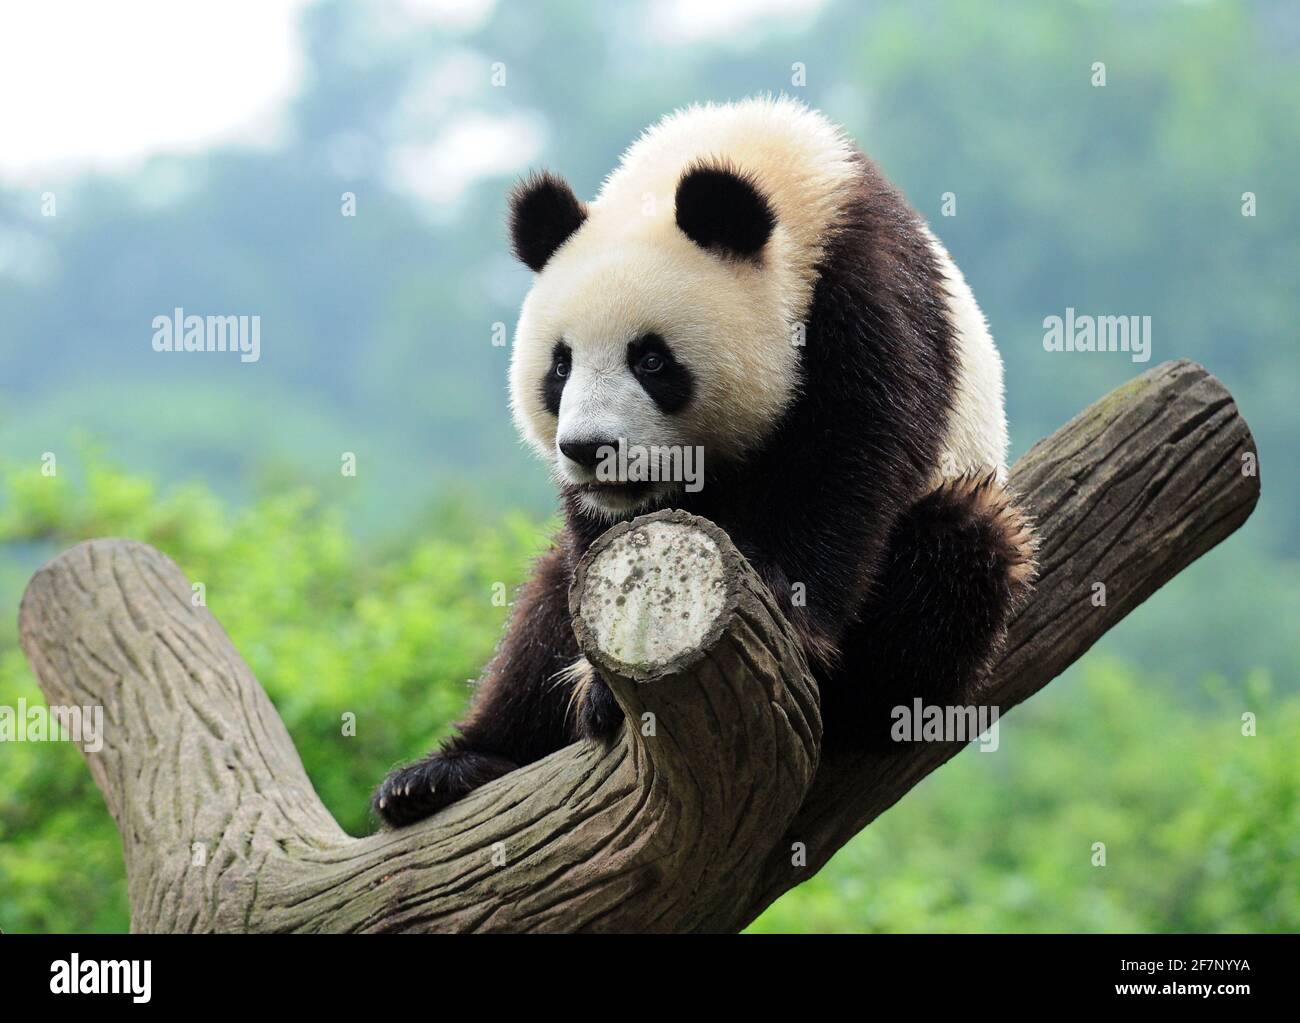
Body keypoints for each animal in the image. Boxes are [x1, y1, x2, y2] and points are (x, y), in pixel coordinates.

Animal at [374, 96, 1035, 827]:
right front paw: (596, 688)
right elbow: (587, 550)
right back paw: (441, 775)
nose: (588, 449)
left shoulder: (863, 296)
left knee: (957, 550)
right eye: (560, 365)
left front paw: (793, 621)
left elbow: (844, 464)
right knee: (540, 613)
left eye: (651, 359)